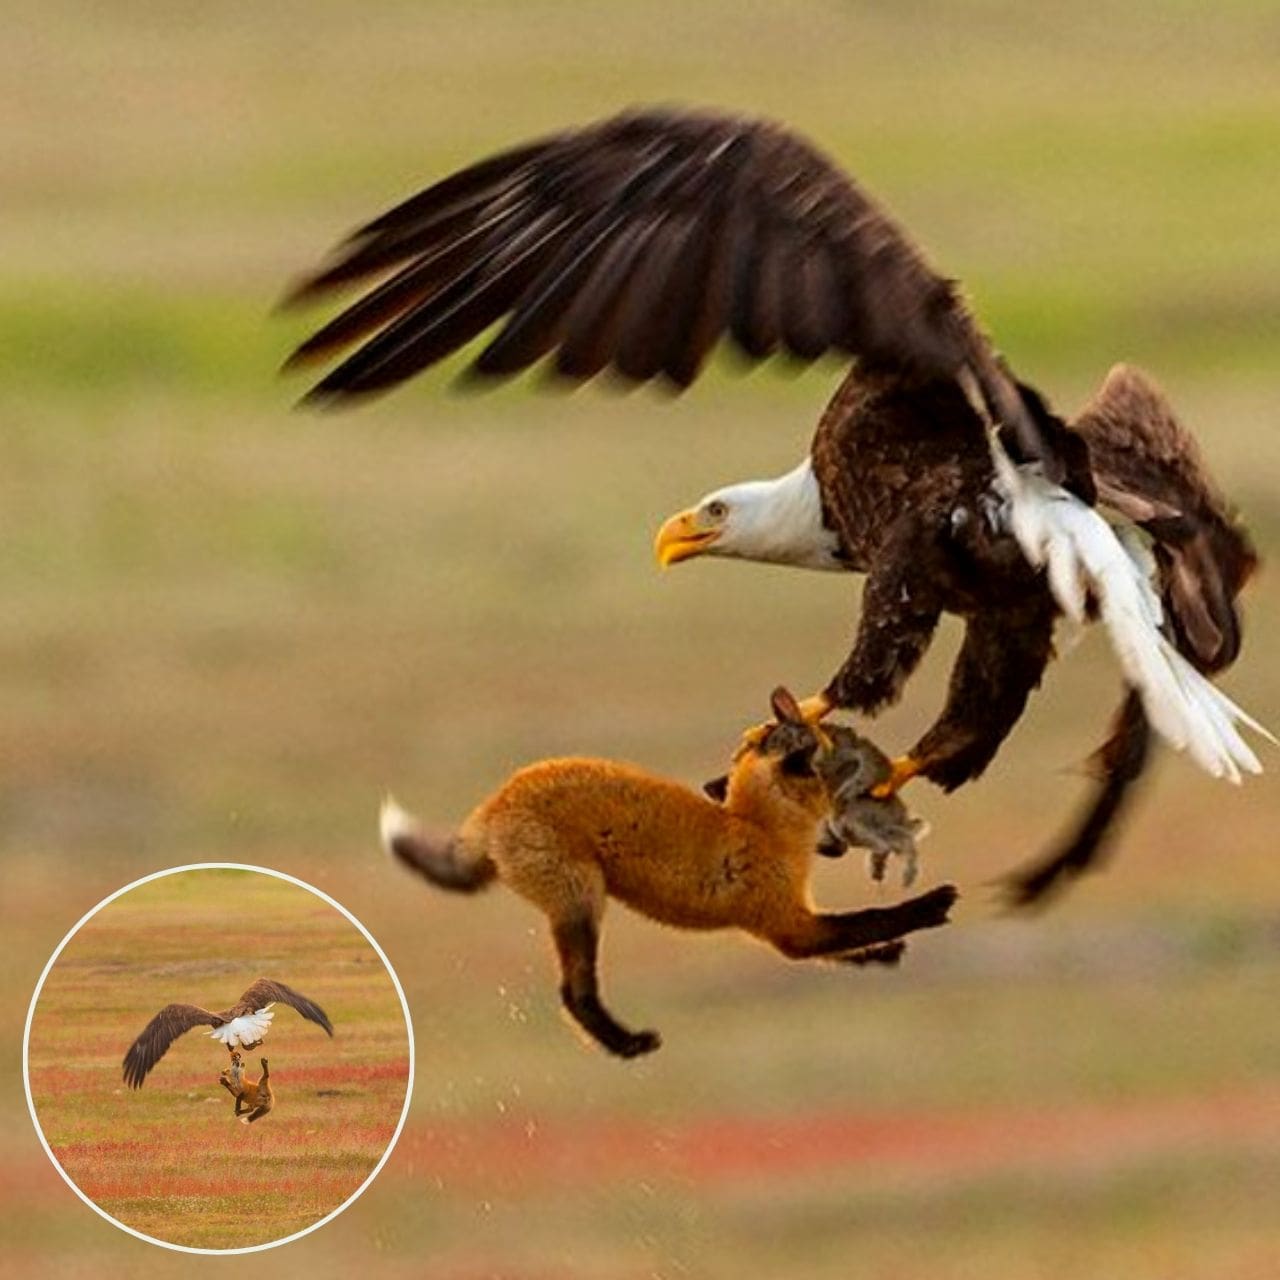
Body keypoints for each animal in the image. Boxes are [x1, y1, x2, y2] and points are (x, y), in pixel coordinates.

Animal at [380, 688, 958, 1058]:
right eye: (835, 790)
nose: (838, 842)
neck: (756, 826)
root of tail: (495, 802)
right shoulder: (786, 926)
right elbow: (870, 918)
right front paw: (931, 905)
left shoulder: (798, 920)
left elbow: (847, 945)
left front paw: (883, 956)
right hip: (581, 901)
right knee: (574, 994)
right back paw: (627, 1045)